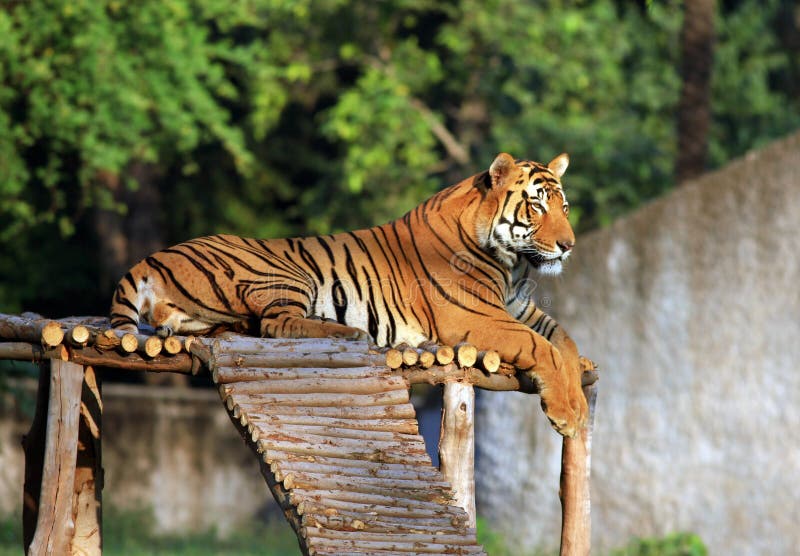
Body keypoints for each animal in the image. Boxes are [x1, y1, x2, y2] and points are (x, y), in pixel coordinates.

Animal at [110, 152, 588, 437]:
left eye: (564, 207)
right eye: (537, 206)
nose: (569, 246)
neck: (514, 264)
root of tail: (151, 258)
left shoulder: (518, 309)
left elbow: (563, 339)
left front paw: (579, 393)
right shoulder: (474, 315)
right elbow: (541, 347)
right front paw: (567, 413)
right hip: (282, 271)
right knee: (275, 323)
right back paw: (348, 333)